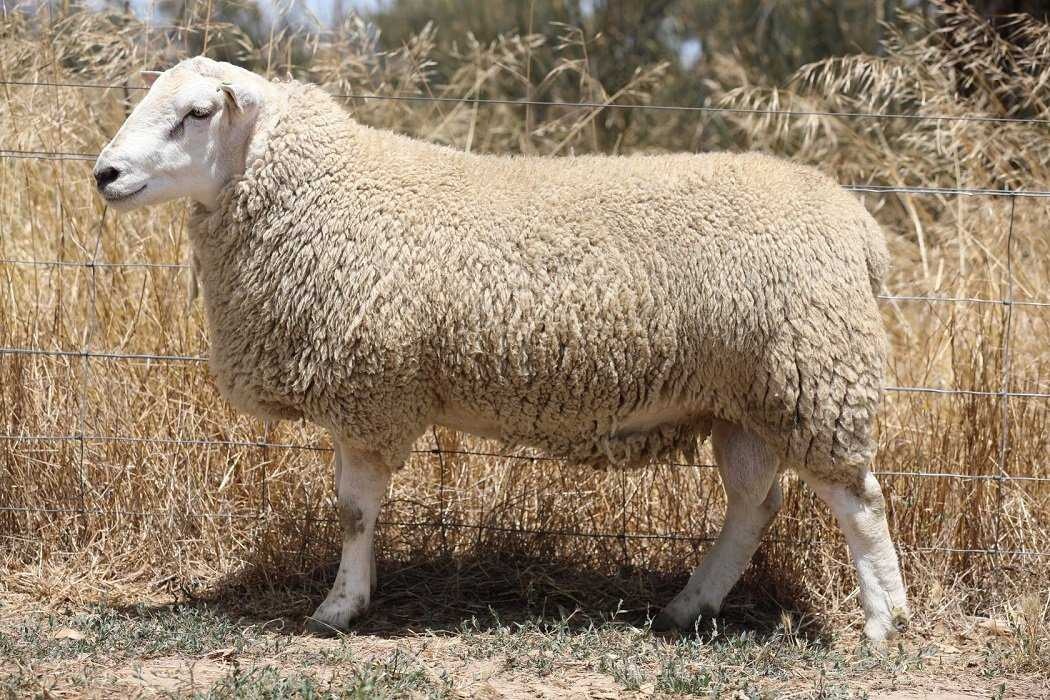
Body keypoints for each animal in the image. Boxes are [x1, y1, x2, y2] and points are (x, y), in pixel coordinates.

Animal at [93, 56, 910, 642]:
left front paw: (338, 609)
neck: (325, 194)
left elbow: (353, 512)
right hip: (743, 399)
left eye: (198, 114)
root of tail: (856, 224)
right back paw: (688, 607)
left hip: (813, 376)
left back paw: (883, 622)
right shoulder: (367, 394)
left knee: (859, 502)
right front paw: (352, 598)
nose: (105, 173)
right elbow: (357, 512)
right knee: (753, 507)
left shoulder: (370, 392)